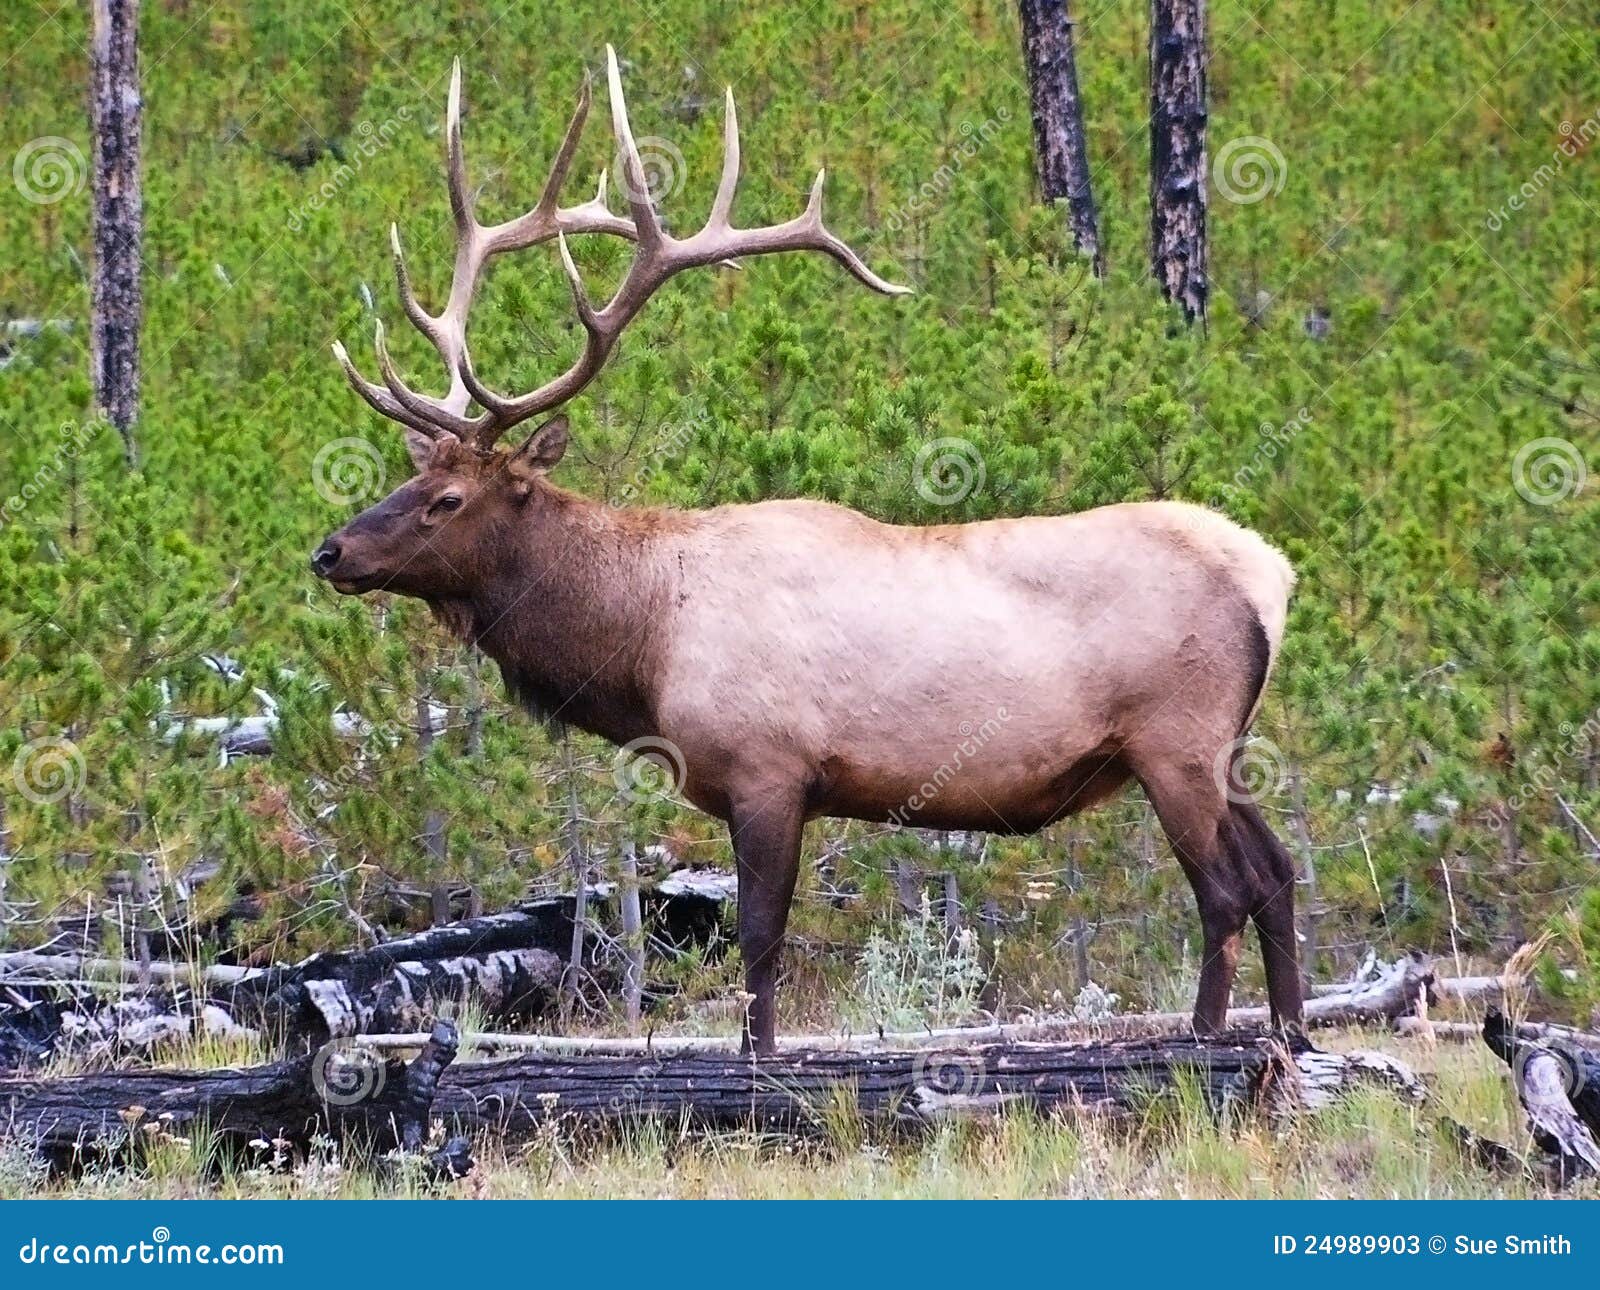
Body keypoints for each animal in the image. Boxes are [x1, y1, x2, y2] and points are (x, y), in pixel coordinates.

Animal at [312, 48, 1304, 1054]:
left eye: (446, 500)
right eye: (411, 479)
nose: (331, 552)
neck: (644, 643)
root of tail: (1273, 575)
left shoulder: (768, 767)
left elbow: (759, 938)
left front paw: (759, 1061)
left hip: (1175, 738)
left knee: (1225, 890)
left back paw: (1208, 1038)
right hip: (1221, 747)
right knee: (1277, 871)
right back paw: (1292, 1032)